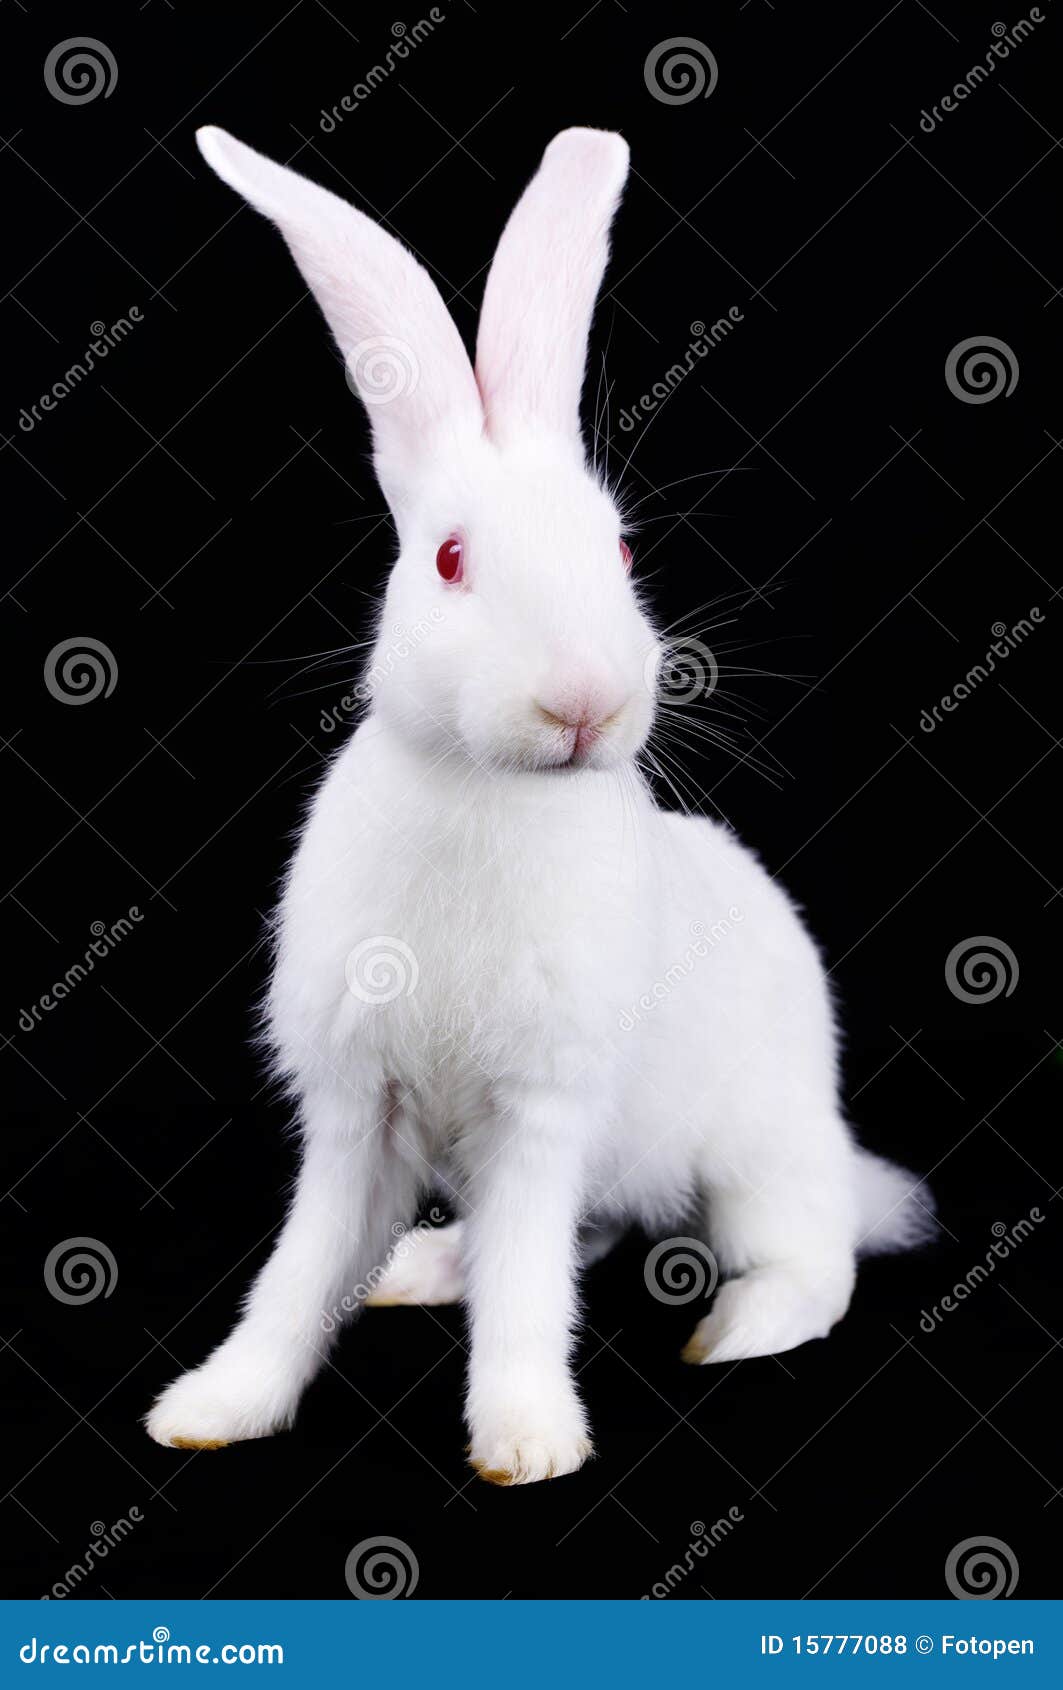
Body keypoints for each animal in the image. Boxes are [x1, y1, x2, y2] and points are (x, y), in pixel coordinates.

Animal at [145, 125, 934, 1484]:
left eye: (619, 551)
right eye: (451, 559)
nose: (584, 703)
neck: (490, 792)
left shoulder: (539, 1111)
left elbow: (526, 1289)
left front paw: (525, 1440)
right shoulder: (359, 1111)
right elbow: (302, 1272)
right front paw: (215, 1407)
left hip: (762, 1155)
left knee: (810, 1257)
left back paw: (736, 1329)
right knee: (590, 1234)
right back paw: (419, 1266)